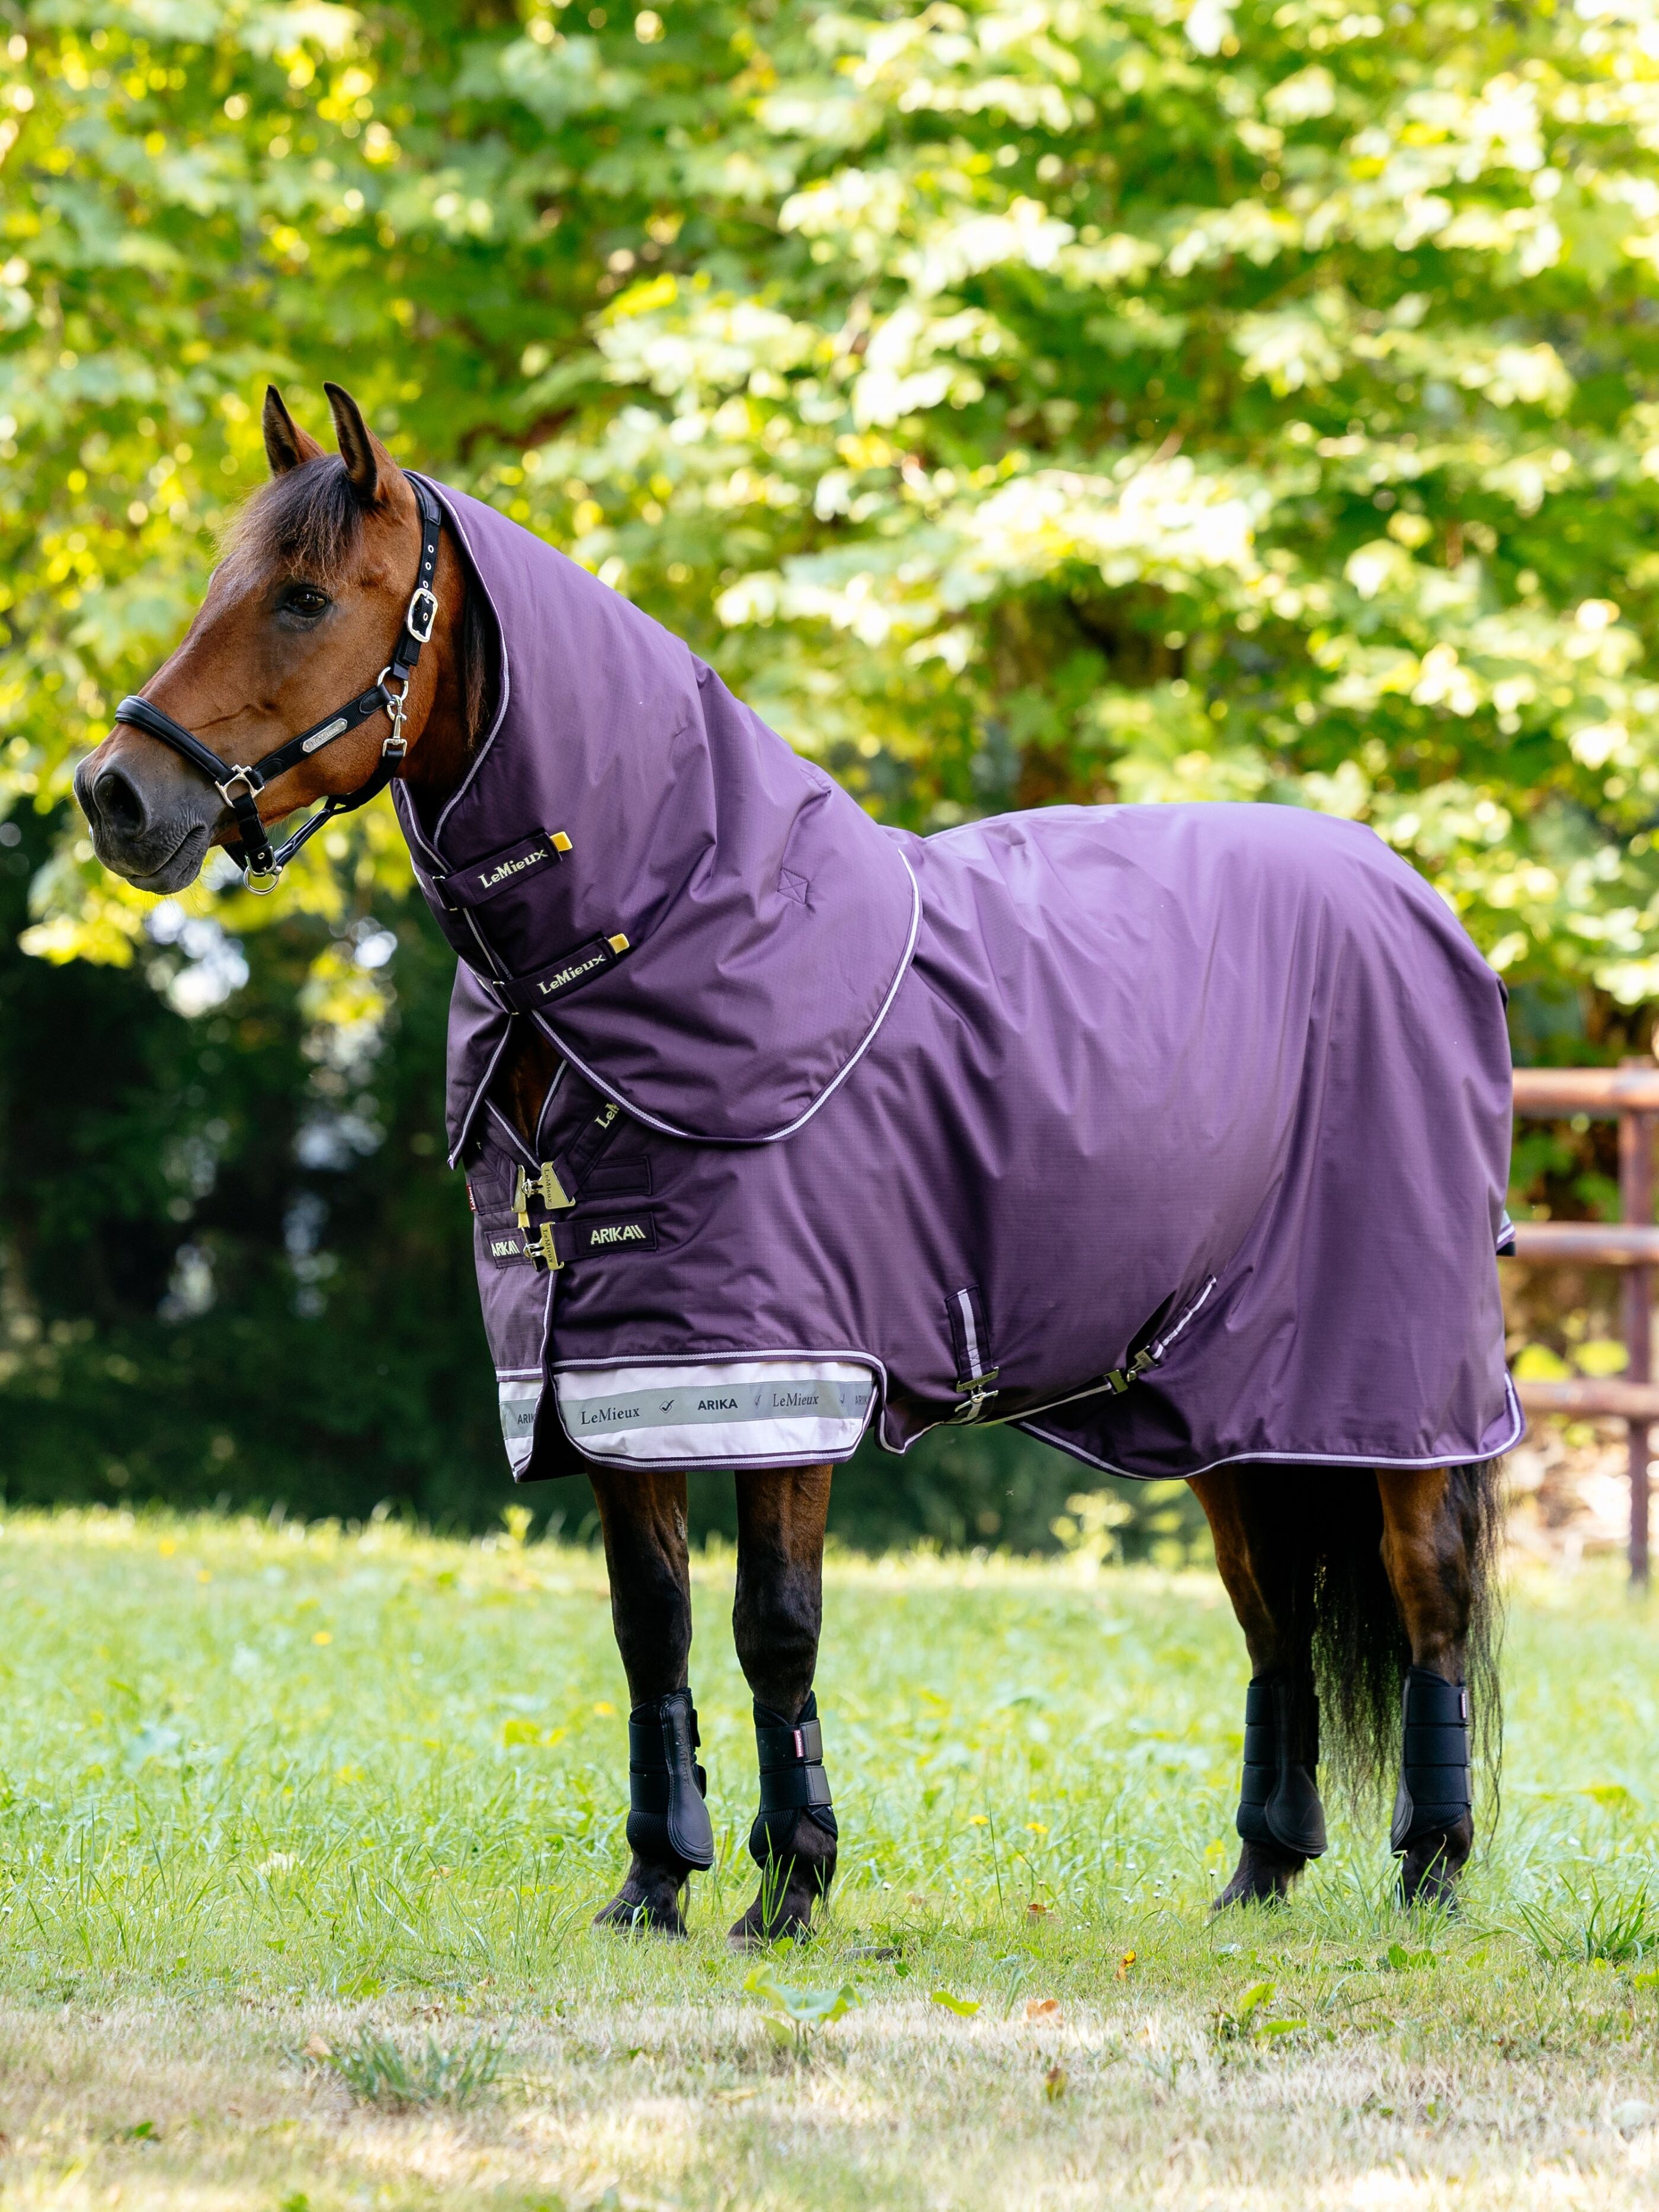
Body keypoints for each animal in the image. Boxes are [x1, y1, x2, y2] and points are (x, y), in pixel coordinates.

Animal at [75, 382, 1509, 1942]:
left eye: (303, 596)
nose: (116, 794)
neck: (668, 937)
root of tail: (1413, 899)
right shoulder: (607, 1381)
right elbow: (652, 1629)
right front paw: (654, 1880)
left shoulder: (784, 1376)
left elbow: (775, 1623)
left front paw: (791, 1883)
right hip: (1222, 1401)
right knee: (1272, 1613)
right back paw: (1258, 1872)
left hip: (1396, 1383)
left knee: (1426, 1588)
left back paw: (1432, 1868)